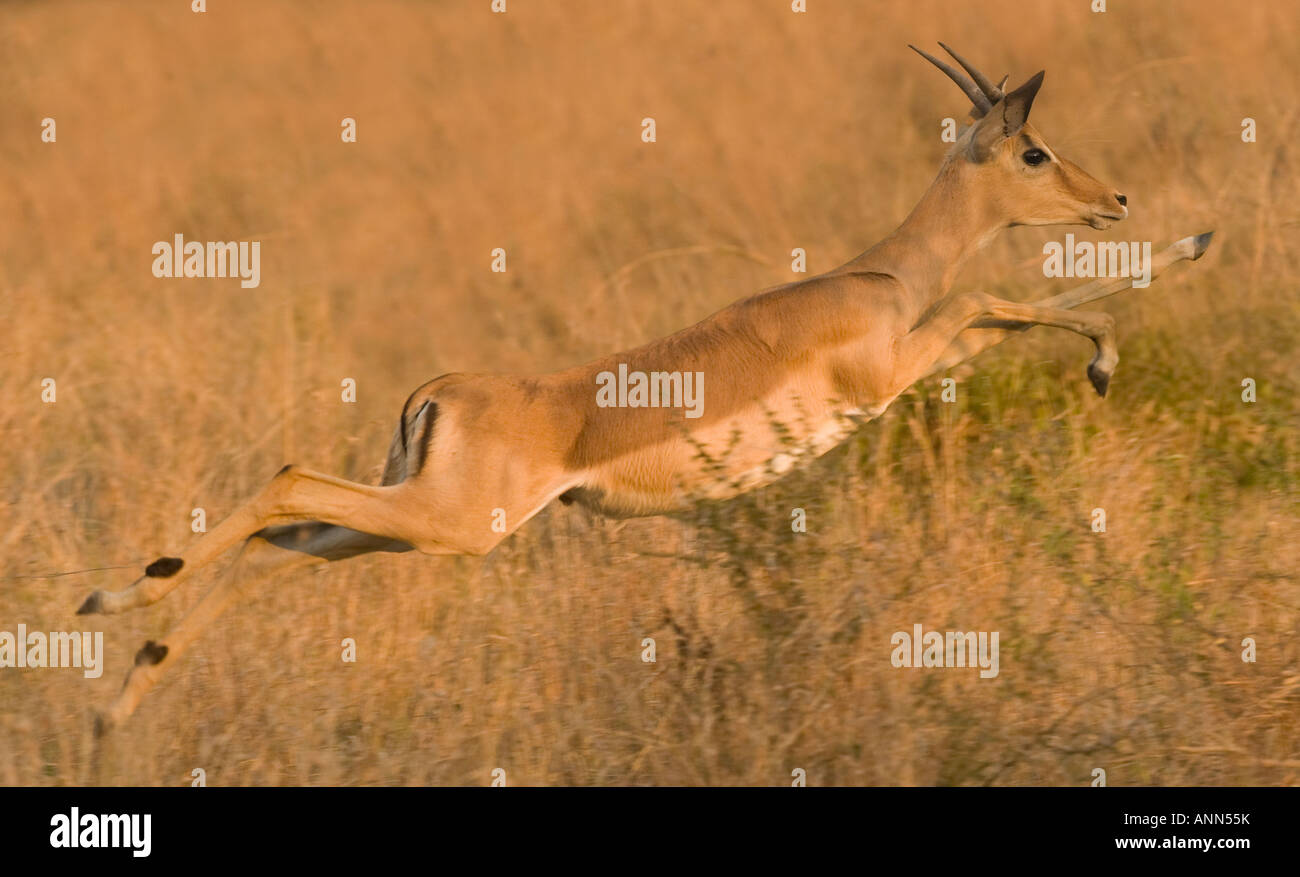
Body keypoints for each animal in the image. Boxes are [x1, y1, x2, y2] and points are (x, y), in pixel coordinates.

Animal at [78, 44, 1212, 732]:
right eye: (1035, 149)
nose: (1115, 198)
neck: (882, 277)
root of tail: (437, 390)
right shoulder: (898, 365)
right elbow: (997, 295)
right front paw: (1109, 353)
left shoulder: (928, 357)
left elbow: (1019, 302)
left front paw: (1188, 249)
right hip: (452, 522)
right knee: (284, 482)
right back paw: (113, 600)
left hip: (408, 524)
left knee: (278, 543)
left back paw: (124, 687)